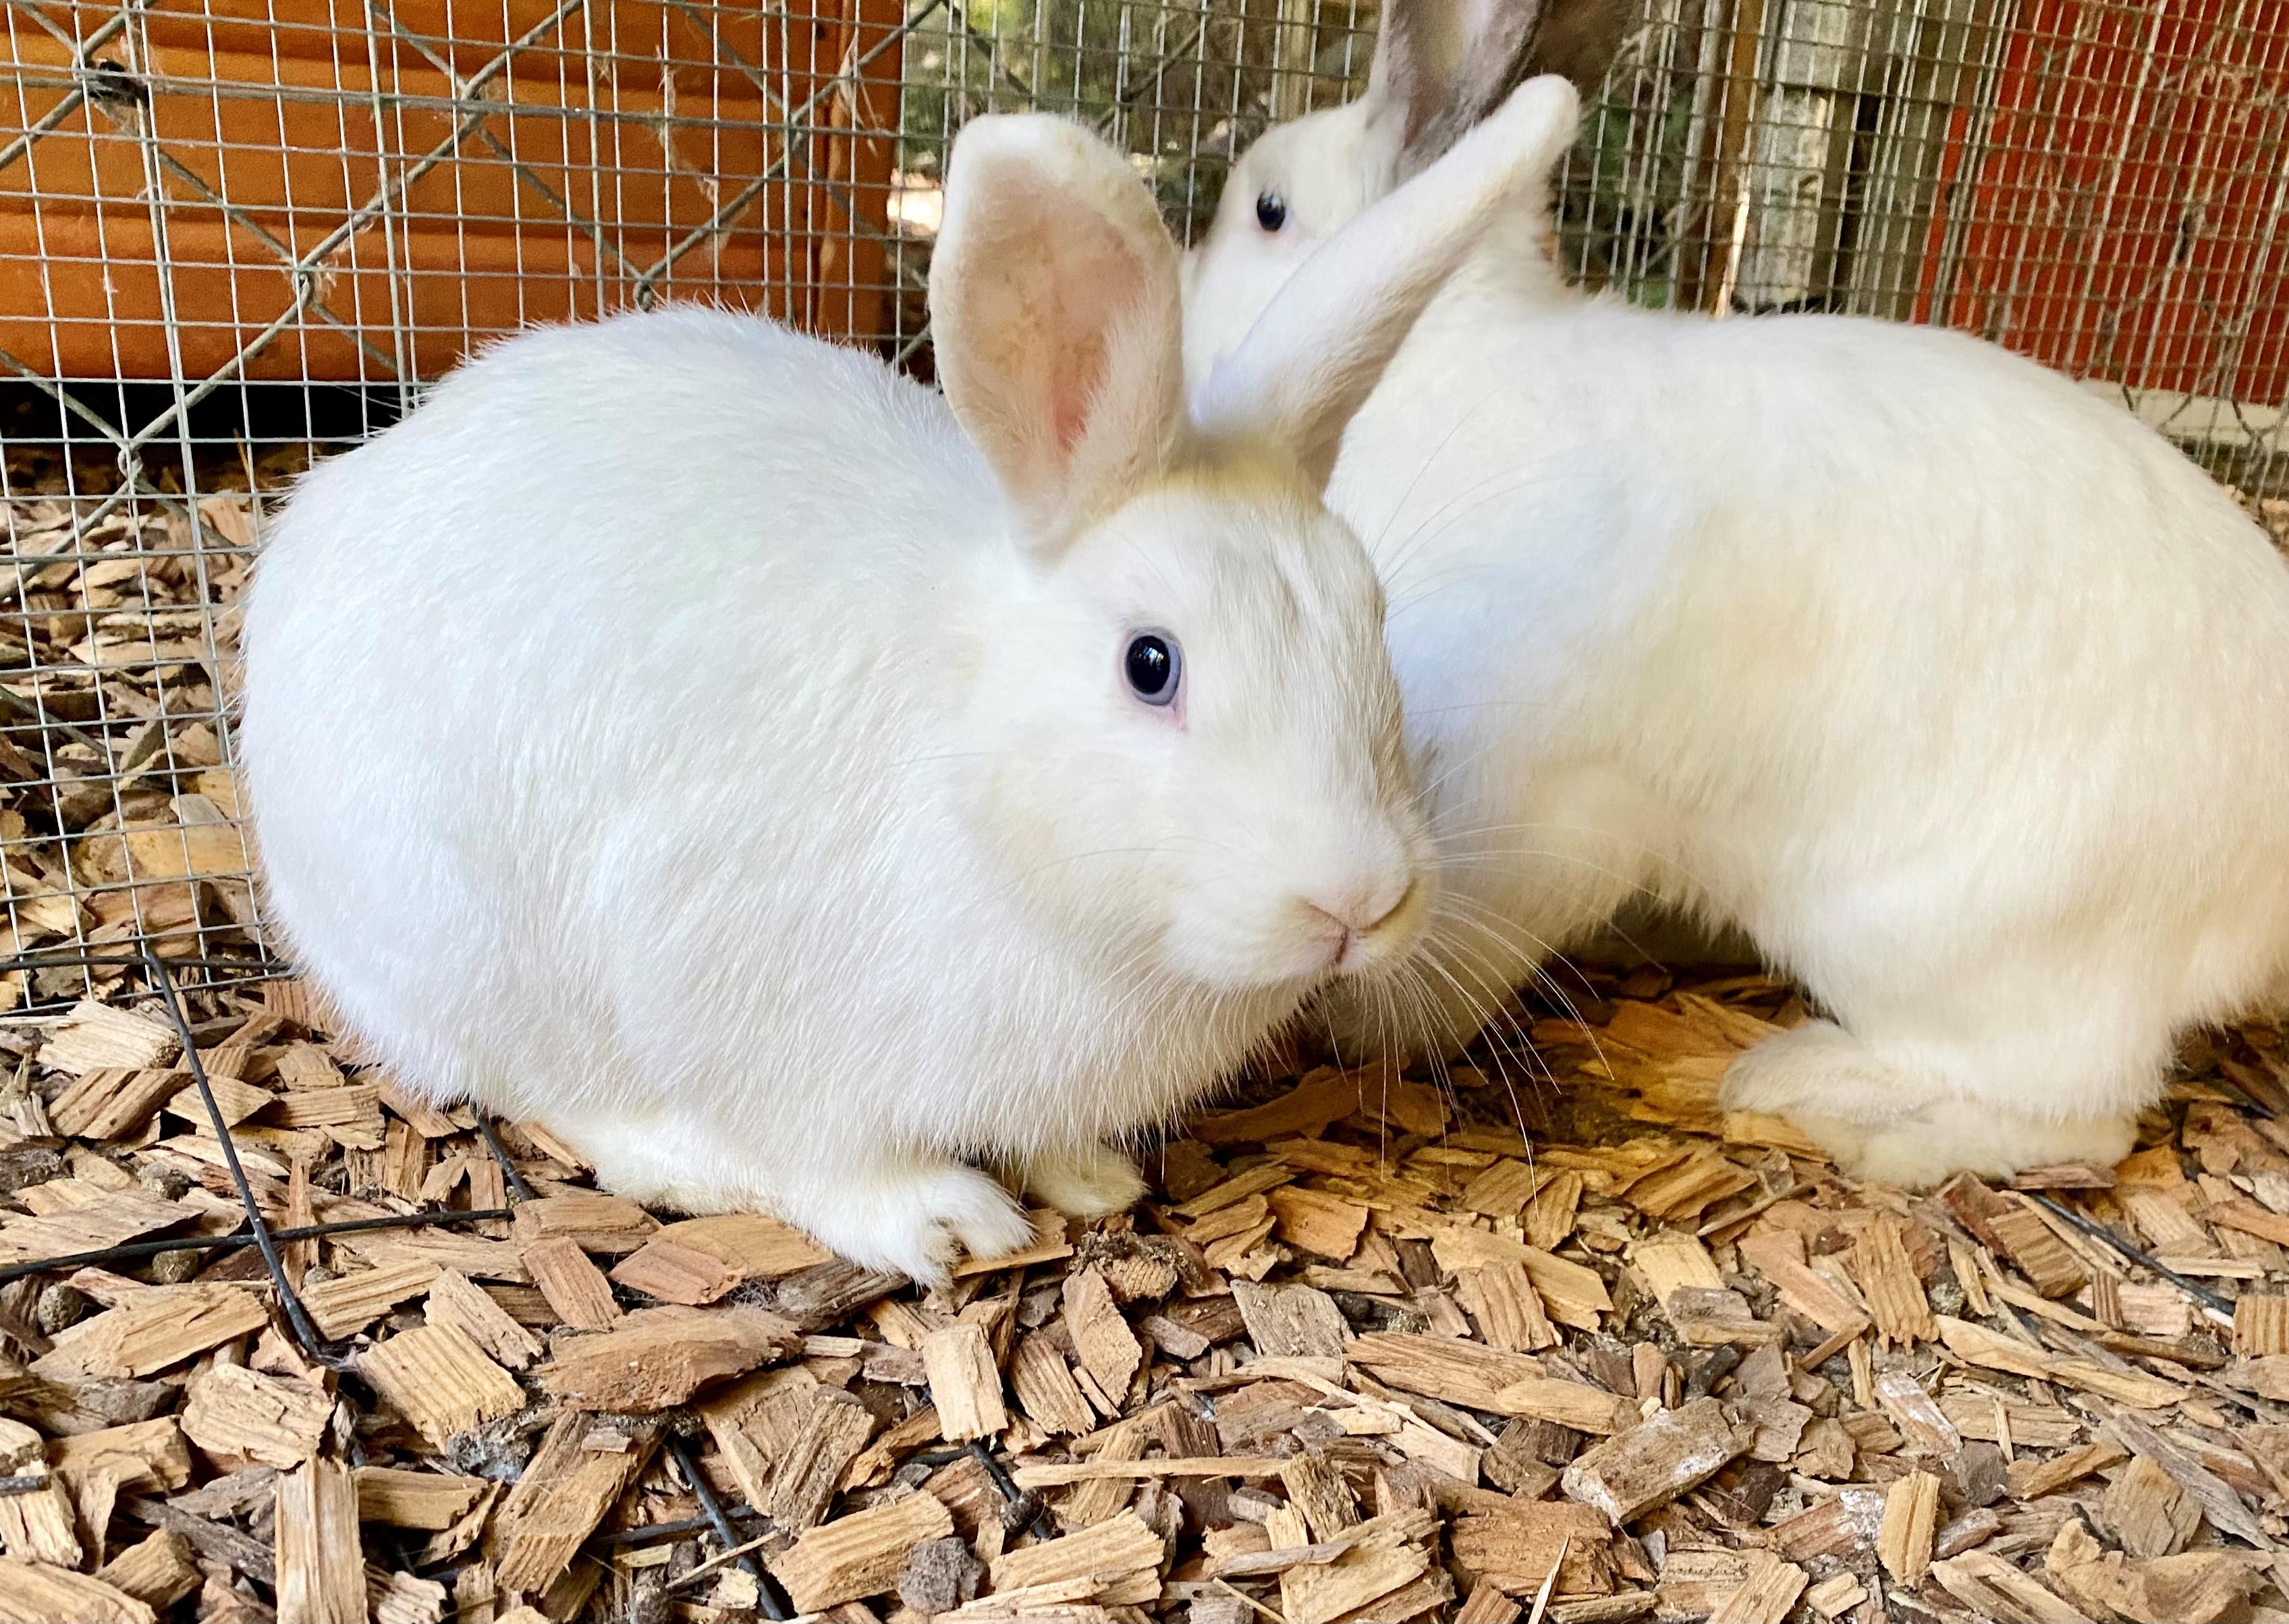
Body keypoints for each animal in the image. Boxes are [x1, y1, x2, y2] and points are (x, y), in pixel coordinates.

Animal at [237, 92, 1578, 1284]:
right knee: (544, 1084)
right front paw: (945, 1223)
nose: (1359, 900)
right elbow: (824, 1155)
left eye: (1374, 618)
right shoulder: (728, 984)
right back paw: (682, 1160)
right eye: (1151, 663)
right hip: (472, 940)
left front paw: (1090, 1175)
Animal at [1178, 5, 2289, 1188]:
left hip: (1952, 940)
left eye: (1267, 208)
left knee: (2079, 1112)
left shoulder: (1522, 793)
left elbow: (1453, 938)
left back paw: (1822, 1094)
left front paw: (1359, 1028)